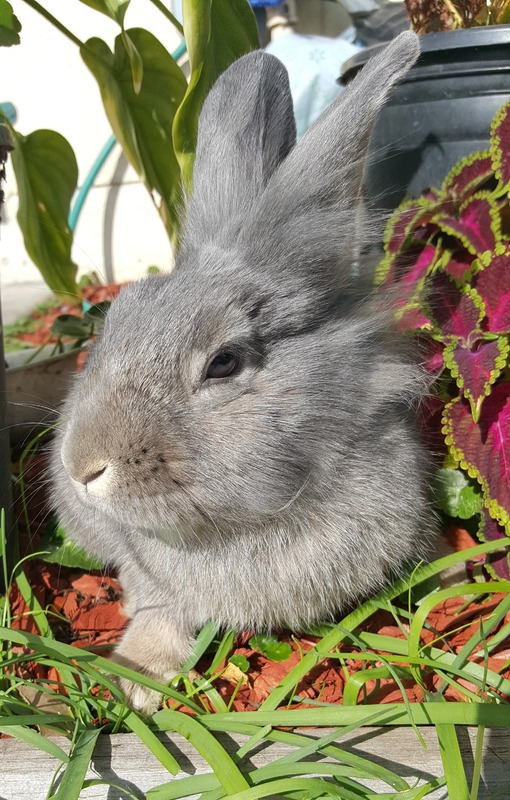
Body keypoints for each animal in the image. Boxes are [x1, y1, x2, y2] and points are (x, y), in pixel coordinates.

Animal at [51, 30, 435, 714]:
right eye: (116, 317)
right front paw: (137, 681)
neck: (258, 520)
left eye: (223, 363)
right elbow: (157, 613)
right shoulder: (146, 575)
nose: (82, 468)